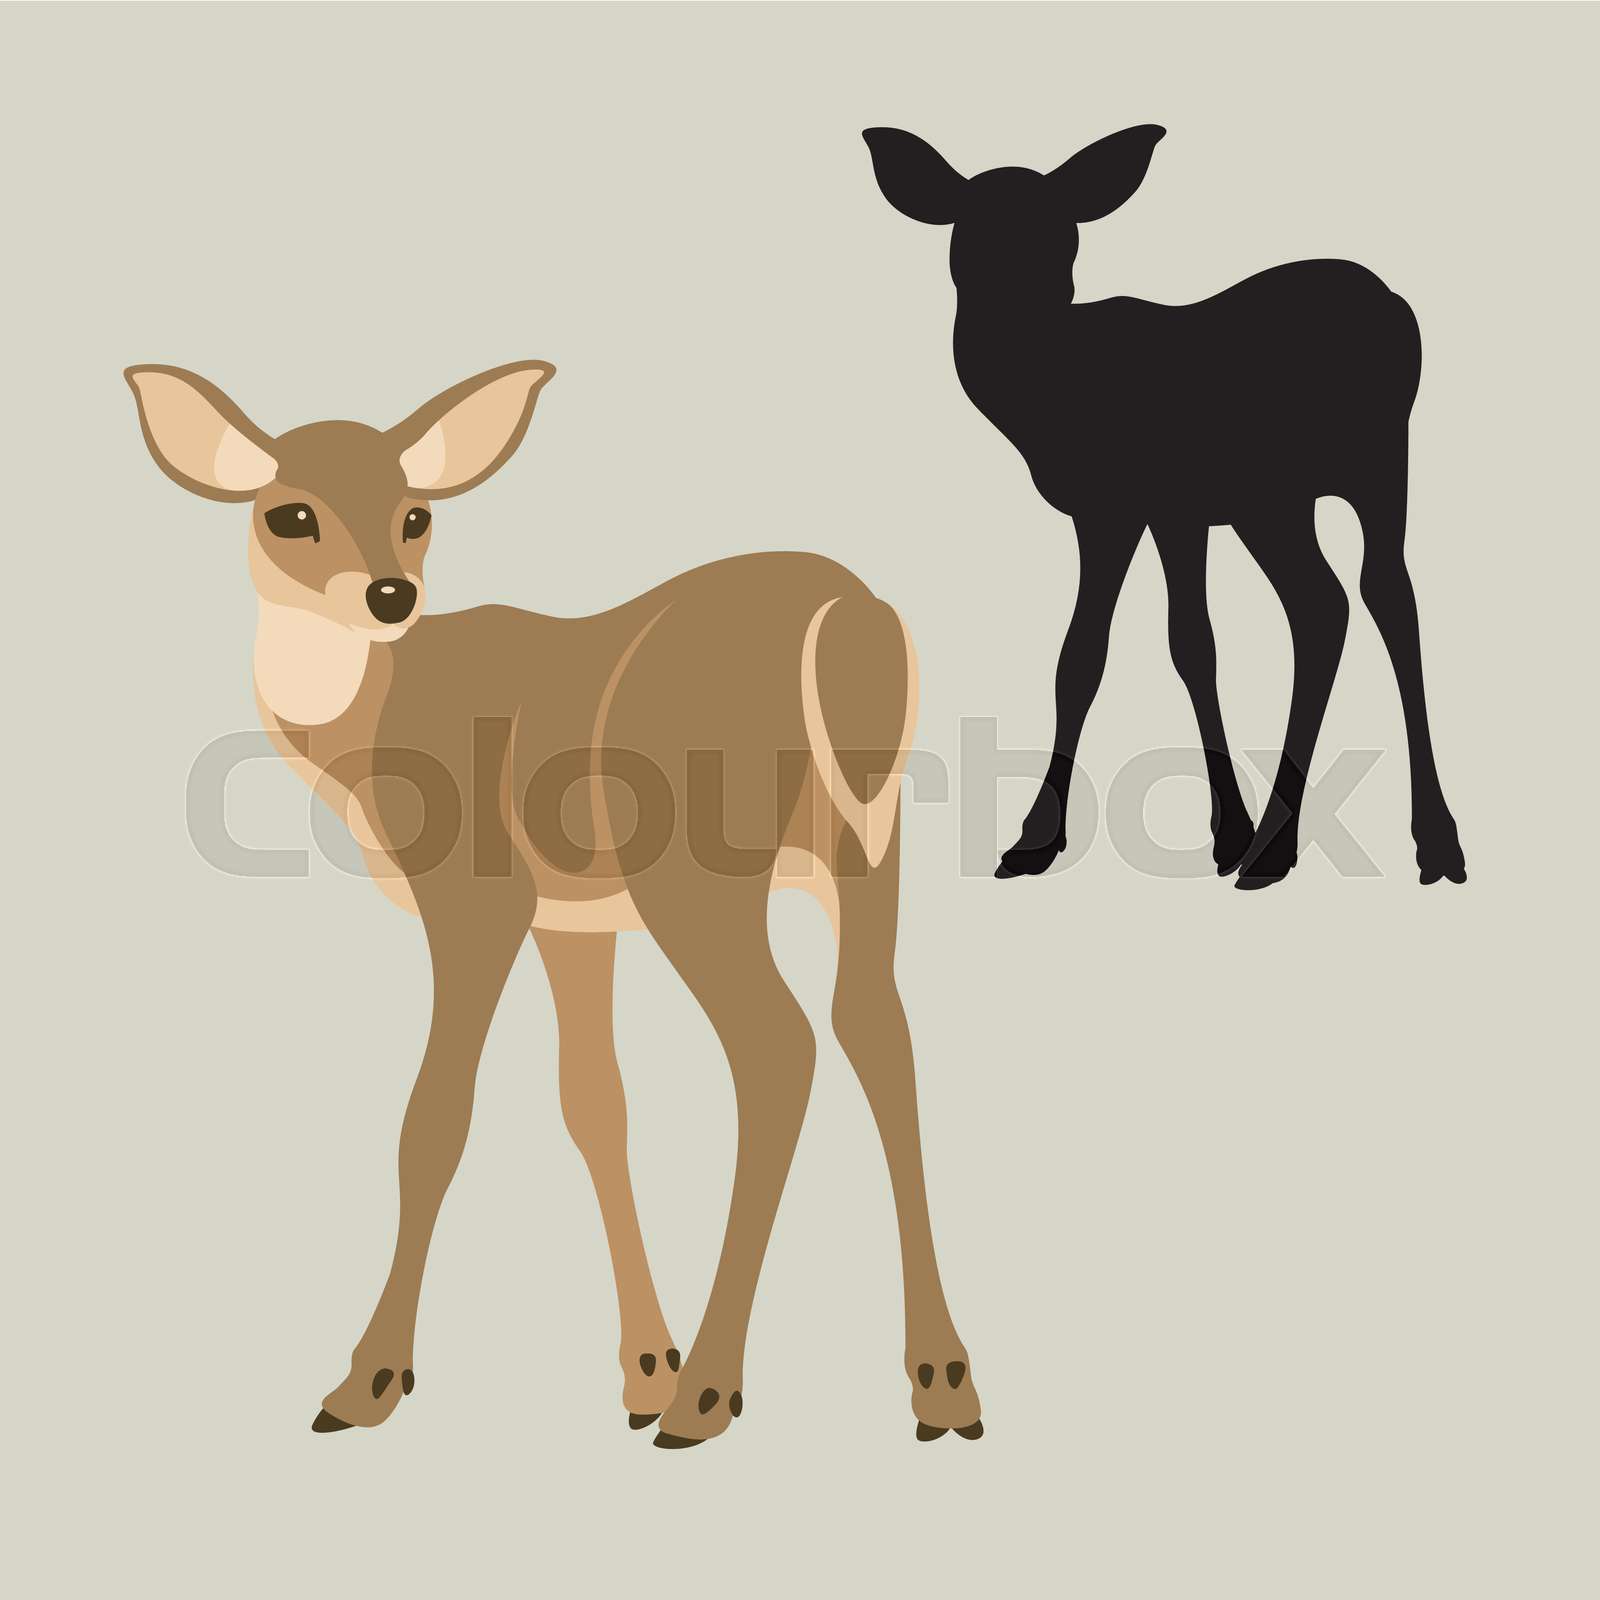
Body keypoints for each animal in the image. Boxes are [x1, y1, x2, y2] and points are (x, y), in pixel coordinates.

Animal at [125, 361, 982, 1447]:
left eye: (416, 512)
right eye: (290, 511)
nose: (391, 593)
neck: (370, 732)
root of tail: (850, 620)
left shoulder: (475, 896)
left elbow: (435, 1117)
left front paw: (368, 1381)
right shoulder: (573, 922)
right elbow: (595, 1105)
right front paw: (643, 1371)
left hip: (703, 876)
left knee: (779, 1047)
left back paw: (713, 1395)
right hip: (869, 841)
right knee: (878, 1031)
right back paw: (940, 1382)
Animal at [863, 124, 1466, 890]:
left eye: (1066, 238)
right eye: (966, 234)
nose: (1016, 308)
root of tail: (1395, 308)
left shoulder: (1119, 504)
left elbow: (1085, 655)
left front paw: (1033, 839)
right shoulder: (1176, 511)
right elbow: (1191, 645)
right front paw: (1227, 833)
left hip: (1335, 473)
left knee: (1357, 599)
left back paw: (1360, 845)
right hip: (1325, 486)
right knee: (1355, 598)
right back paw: (1347, 843)